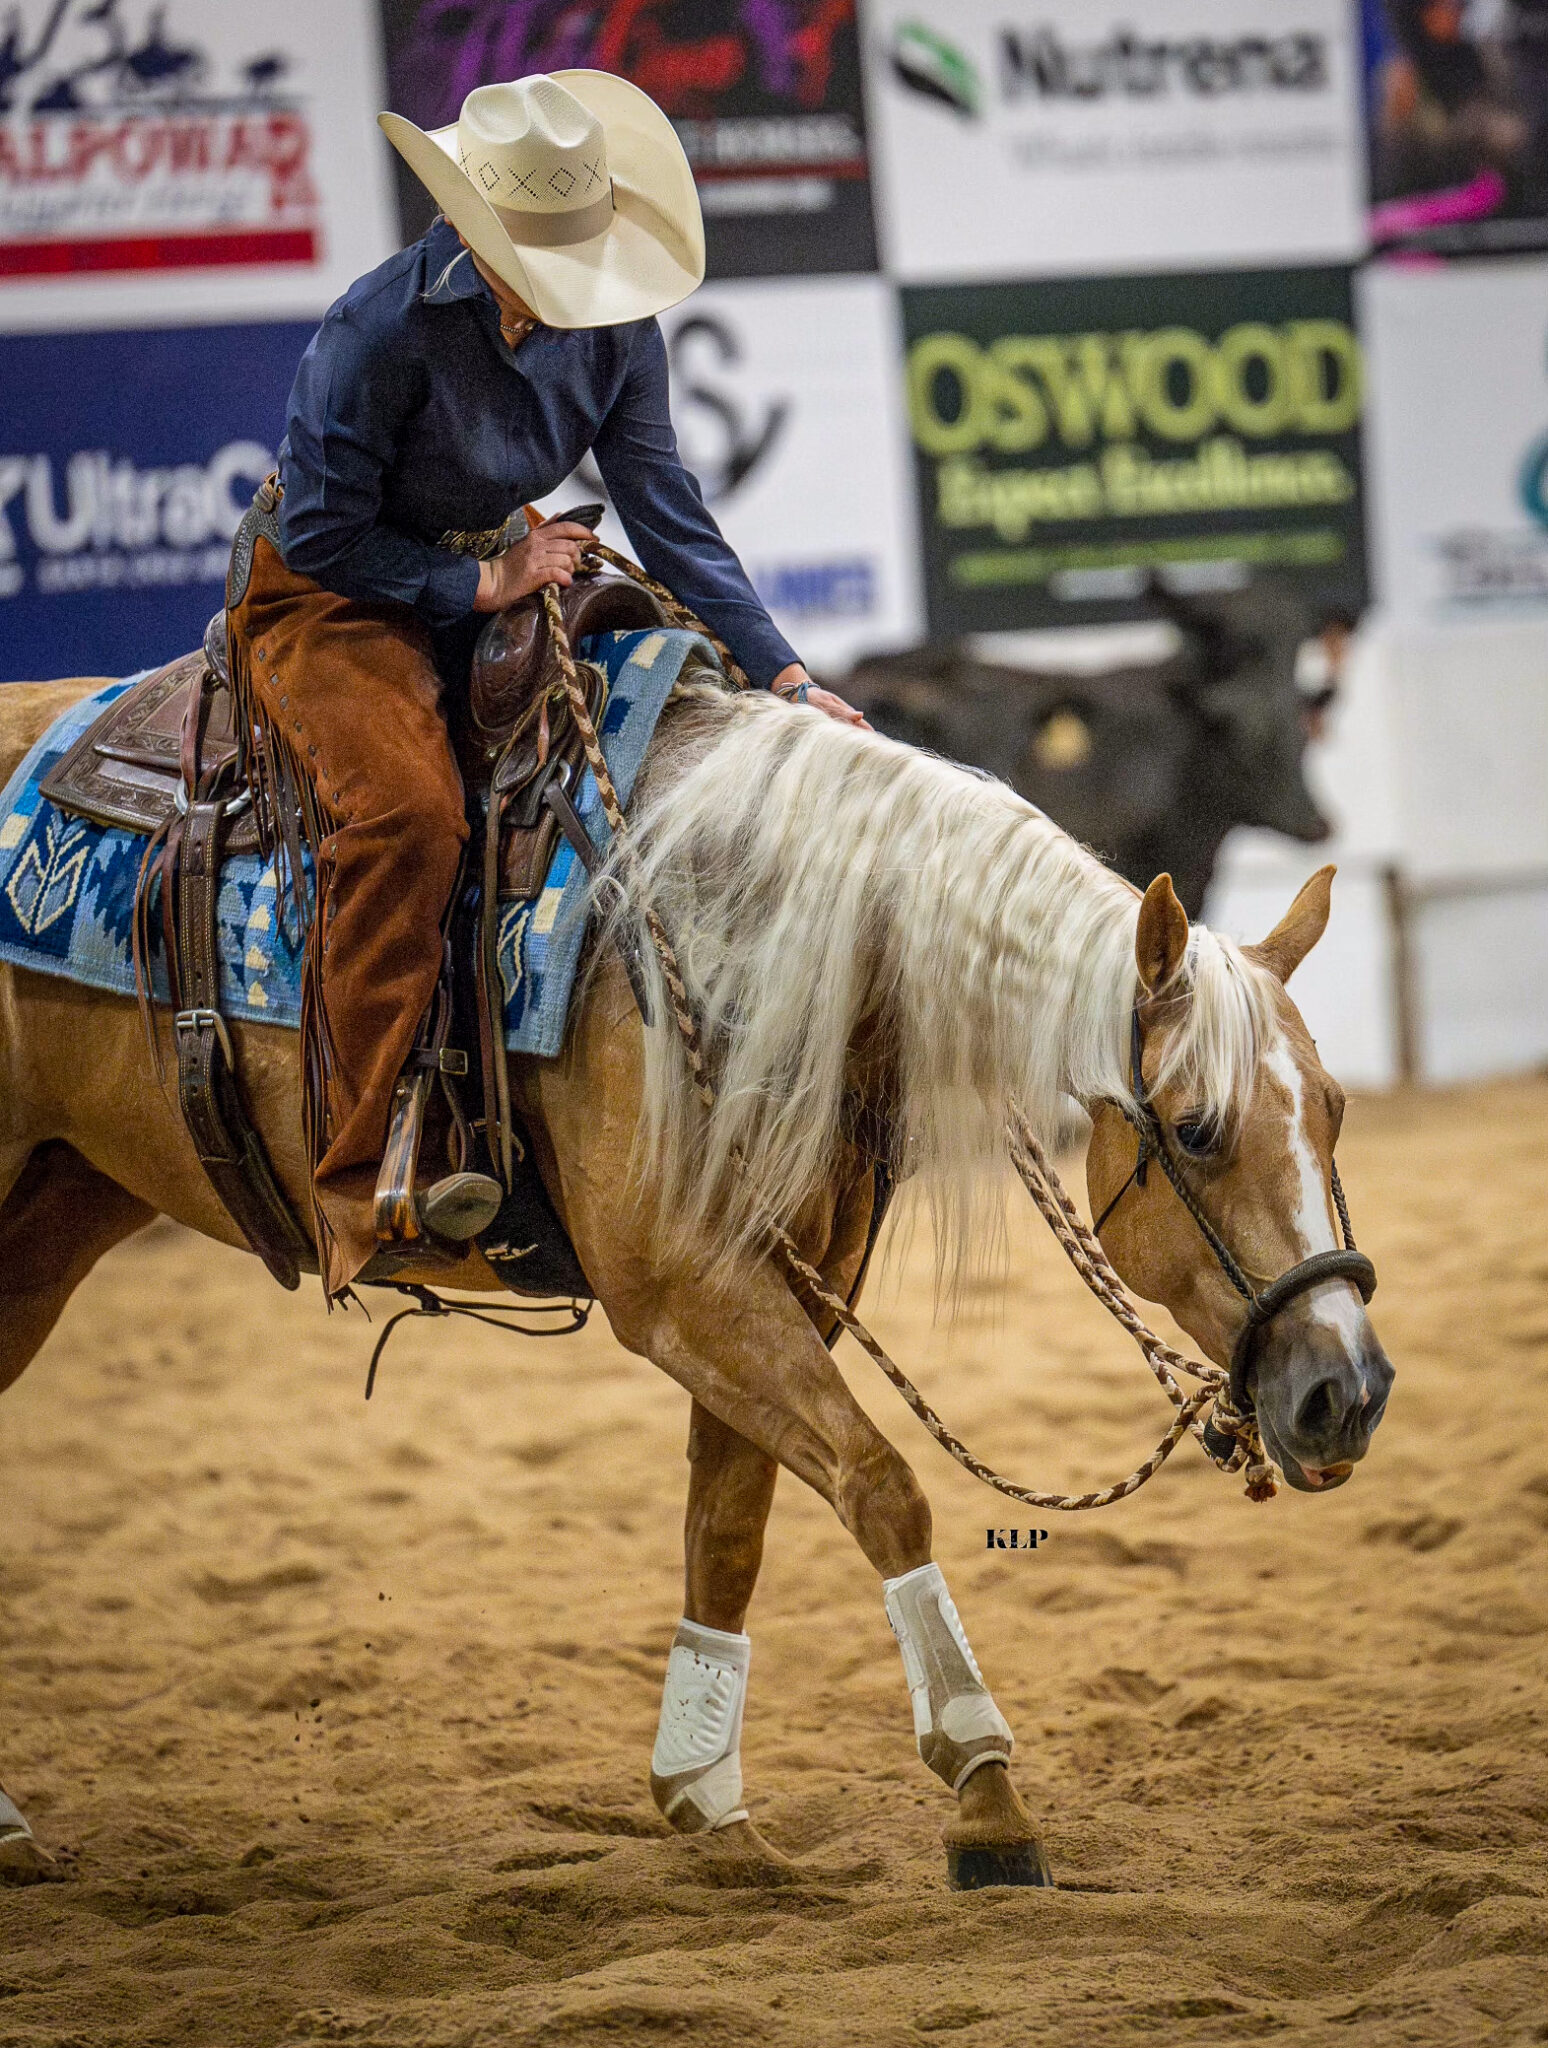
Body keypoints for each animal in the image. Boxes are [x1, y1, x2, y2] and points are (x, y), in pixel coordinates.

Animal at [0, 668, 1394, 1888]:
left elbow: (728, 1527)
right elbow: (884, 1486)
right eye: (1198, 1128)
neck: (758, 942)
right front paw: (985, 1787)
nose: (1347, 1390)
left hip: (59, 1206)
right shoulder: (681, 1287)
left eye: (1333, 1108)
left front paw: (706, 1802)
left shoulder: (777, 1279)